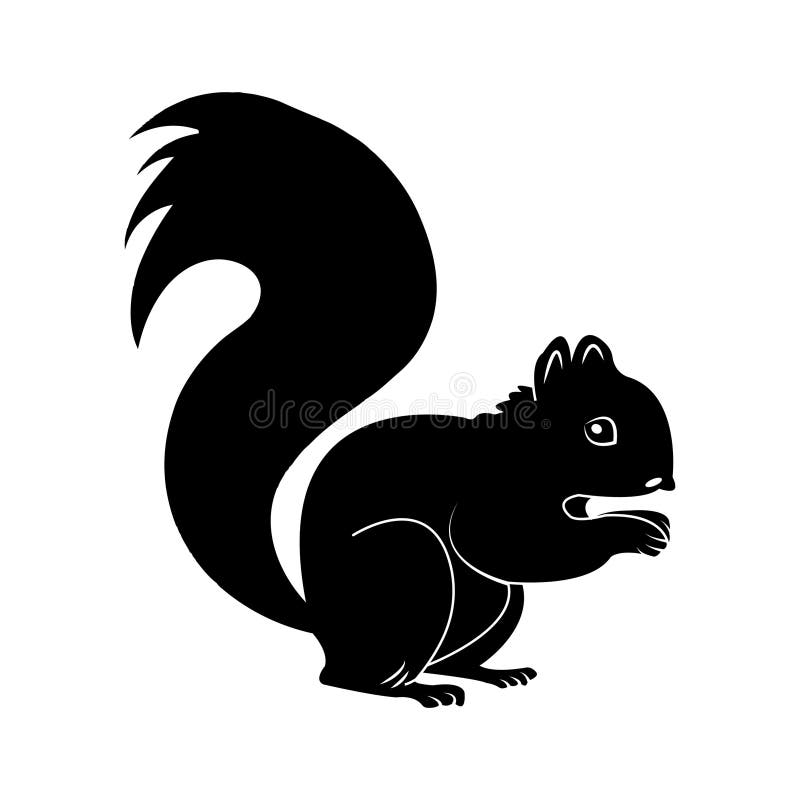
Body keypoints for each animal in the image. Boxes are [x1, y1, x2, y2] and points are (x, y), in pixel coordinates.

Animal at [128, 93, 674, 708]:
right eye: (599, 429)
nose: (662, 481)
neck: (533, 458)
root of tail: (324, 626)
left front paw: (648, 520)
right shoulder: (491, 499)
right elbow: (504, 542)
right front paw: (632, 531)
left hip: (499, 603)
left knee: (448, 656)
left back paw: (488, 673)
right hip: (408, 565)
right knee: (348, 678)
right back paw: (413, 692)